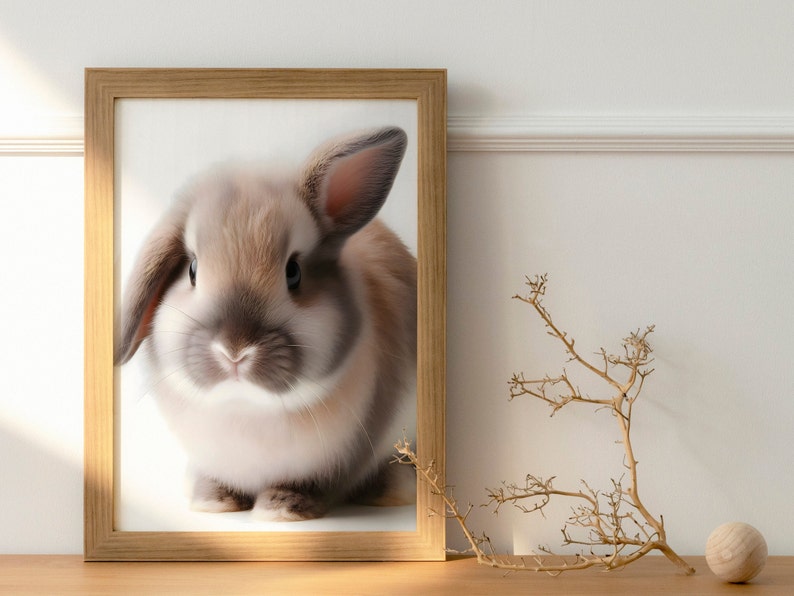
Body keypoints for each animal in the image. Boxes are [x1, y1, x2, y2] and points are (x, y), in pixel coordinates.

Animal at [115, 126, 417, 521]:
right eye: (193, 269)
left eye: (294, 272)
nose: (234, 351)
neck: (246, 407)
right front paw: (213, 501)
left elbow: (310, 484)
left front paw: (282, 509)